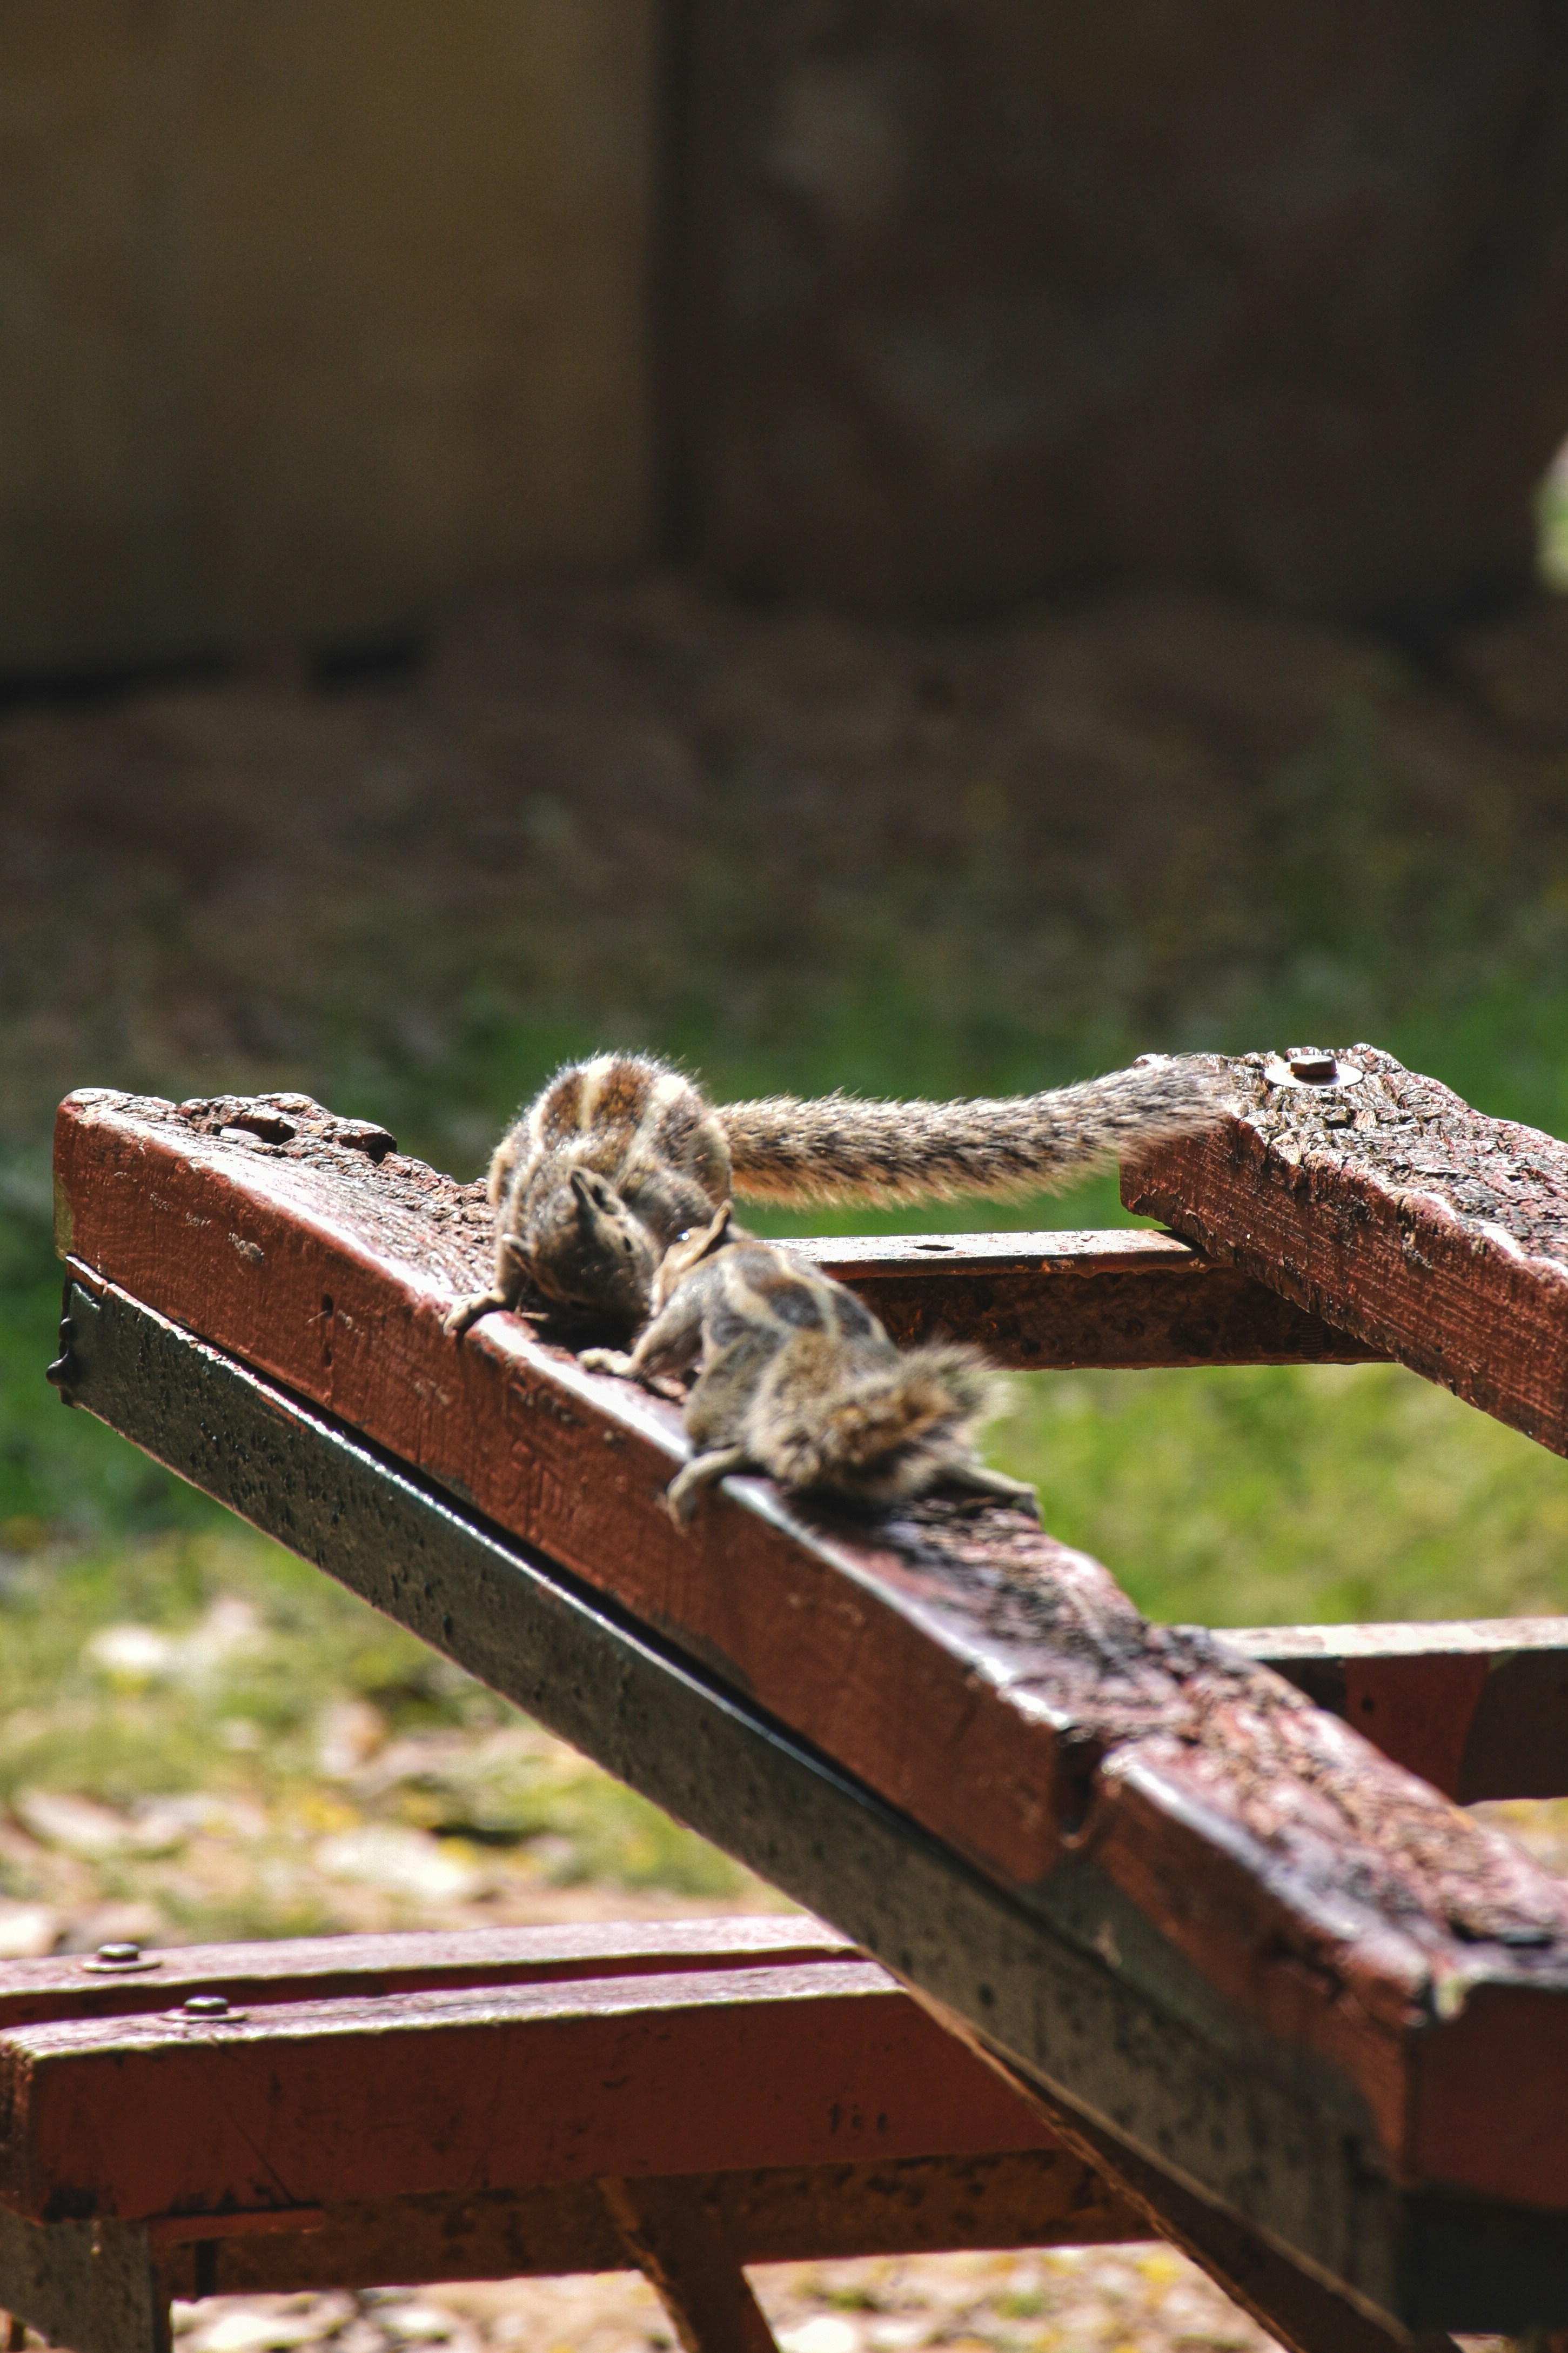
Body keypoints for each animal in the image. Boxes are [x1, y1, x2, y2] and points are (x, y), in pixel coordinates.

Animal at [443, 1048, 1226, 1340]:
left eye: (630, 1249)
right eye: (577, 1298)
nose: (636, 1312)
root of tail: (714, 1117)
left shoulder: (672, 1207)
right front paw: (490, 1299)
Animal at [581, 1207, 1037, 1524]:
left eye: (680, 1237)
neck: (733, 1250)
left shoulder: (693, 1299)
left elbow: (658, 1349)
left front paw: (616, 1361)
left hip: (731, 1391)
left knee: (749, 1447)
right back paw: (1007, 1487)